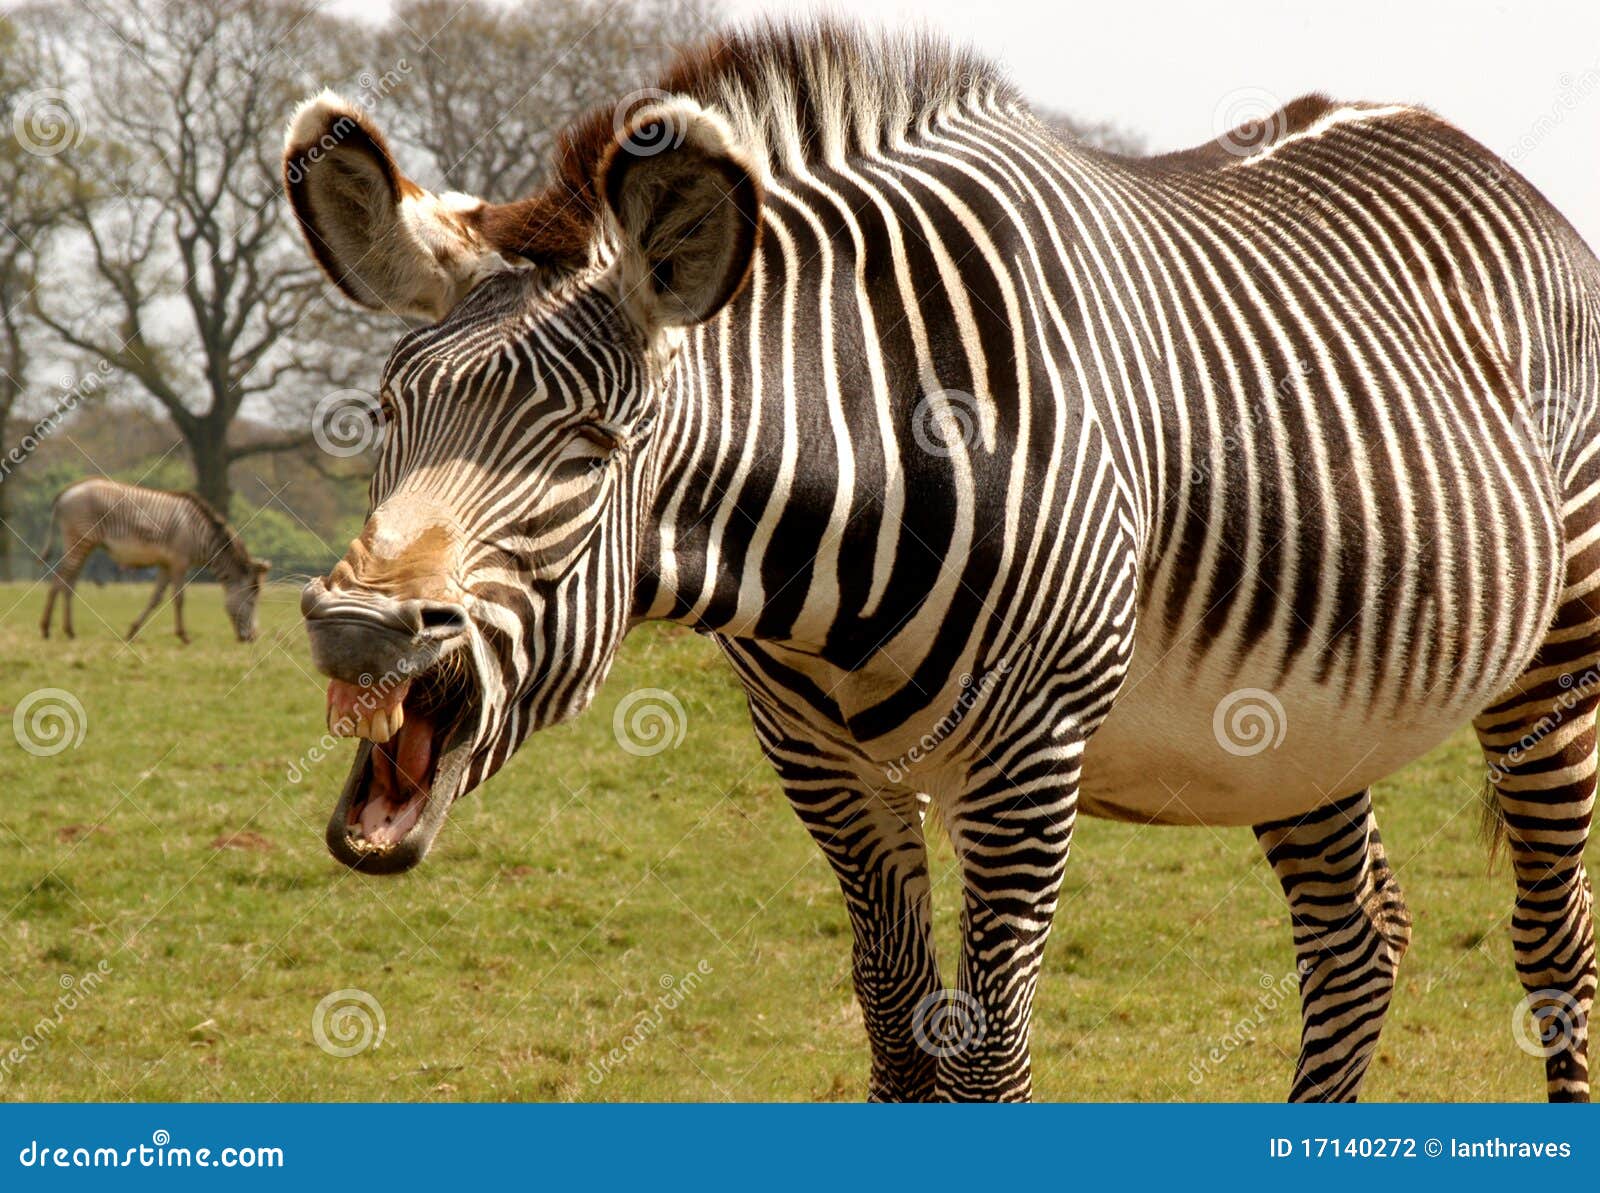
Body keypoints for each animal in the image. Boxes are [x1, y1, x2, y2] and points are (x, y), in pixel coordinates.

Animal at [41, 477, 270, 643]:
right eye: (252, 601)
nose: (252, 639)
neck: (199, 535)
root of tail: (66, 492)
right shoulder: (179, 563)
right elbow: (179, 598)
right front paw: (184, 636)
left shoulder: (165, 564)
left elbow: (155, 598)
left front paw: (132, 631)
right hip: (78, 540)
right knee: (59, 578)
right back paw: (45, 629)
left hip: (84, 544)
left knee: (69, 583)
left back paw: (70, 631)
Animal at [282, 23, 1596, 1101]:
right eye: (389, 411)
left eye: (590, 447)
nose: (359, 628)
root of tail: (1457, 144)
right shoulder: (822, 764)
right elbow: (900, 1035)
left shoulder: (1027, 759)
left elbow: (984, 1058)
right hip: (1301, 714)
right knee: (1355, 939)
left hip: (1561, 650)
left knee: (1552, 940)